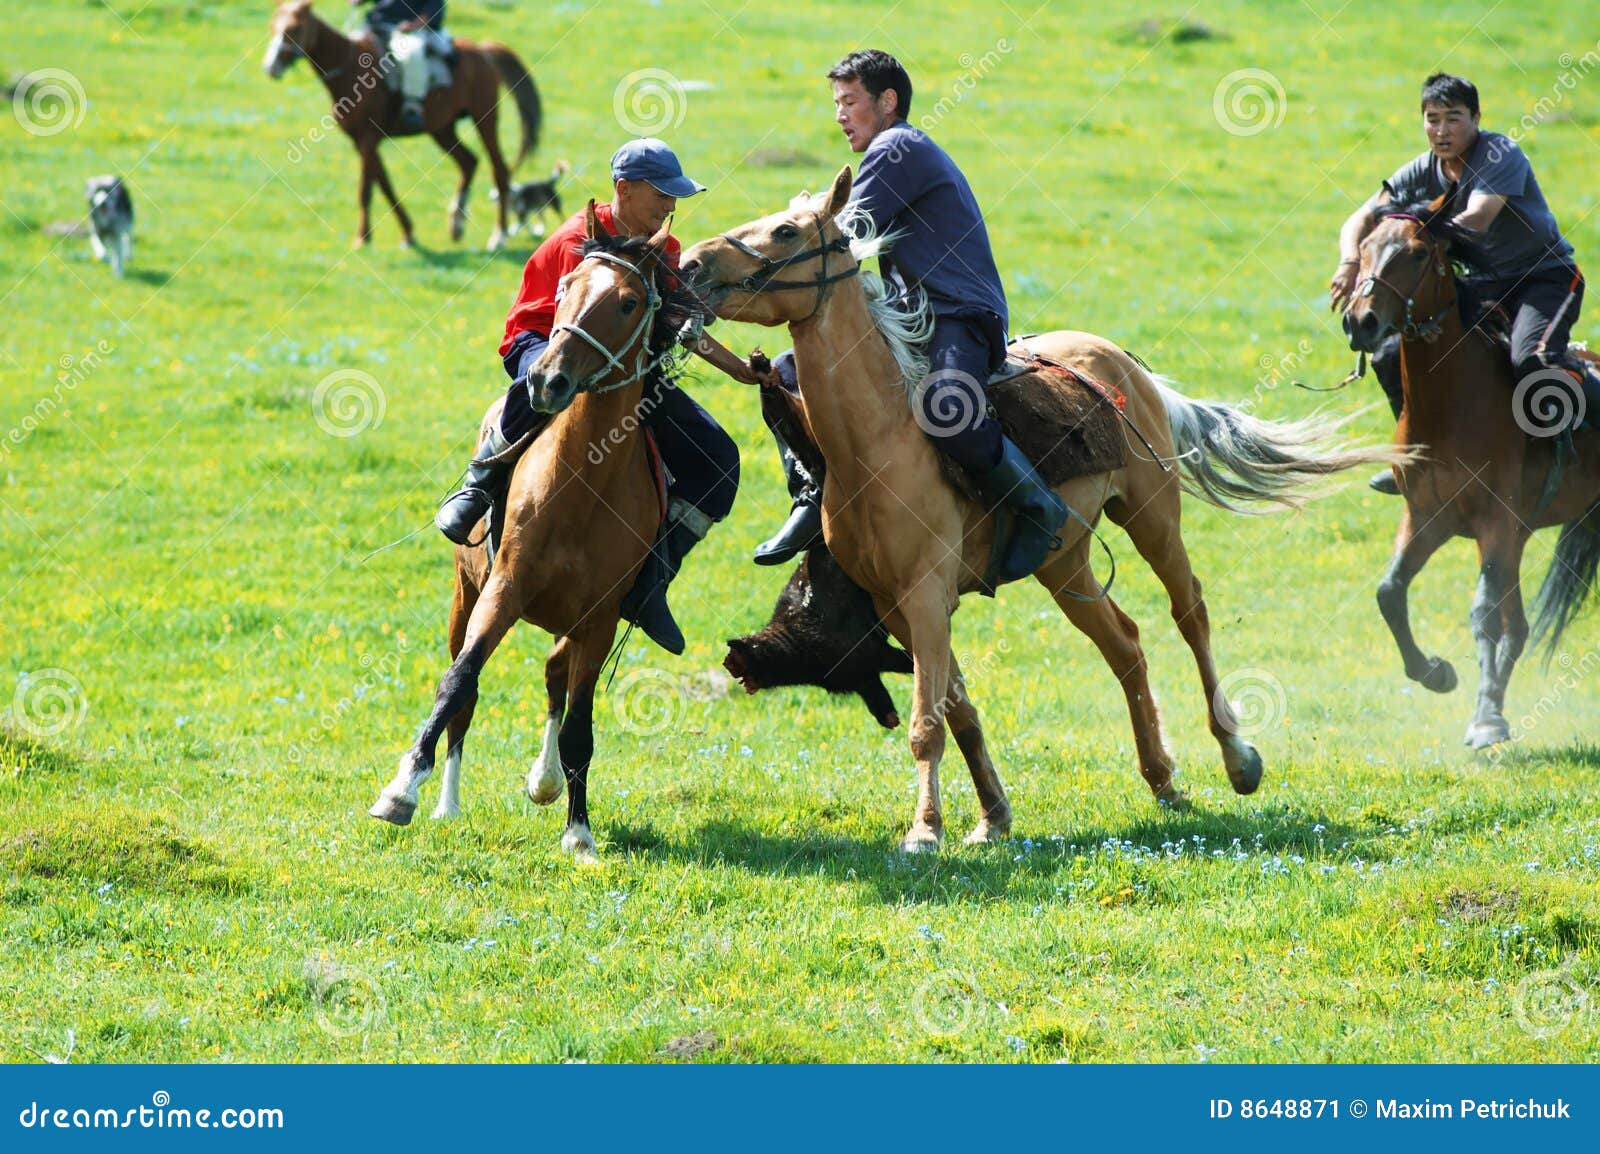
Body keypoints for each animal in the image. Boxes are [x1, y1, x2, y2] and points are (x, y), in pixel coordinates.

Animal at [263, 0, 541, 250]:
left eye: (296, 28)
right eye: (272, 26)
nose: (270, 67)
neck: (350, 69)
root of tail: (483, 51)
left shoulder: (368, 139)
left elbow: (366, 190)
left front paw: (362, 238)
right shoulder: (360, 142)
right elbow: (385, 185)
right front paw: (407, 233)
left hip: (485, 120)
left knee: (500, 171)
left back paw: (498, 236)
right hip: (442, 129)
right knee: (469, 162)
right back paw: (456, 223)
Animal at [369, 206, 688, 861]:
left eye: (627, 303)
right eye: (565, 287)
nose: (548, 381)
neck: (585, 478)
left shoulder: (599, 617)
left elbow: (580, 727)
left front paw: (579, 830)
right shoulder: (504, 588)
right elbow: (458, 683)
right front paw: (401, 791)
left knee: (554, 676)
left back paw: (545, 781)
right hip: (464, 596)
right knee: (467, 698)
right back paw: (447, 802)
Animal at [680, 166, 1401, 852]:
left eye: (785, 232)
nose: (689, 264)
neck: (878, 445)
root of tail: (1124, 365)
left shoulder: (924, 596)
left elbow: (925, 723)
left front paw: (924, 830)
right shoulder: (900, 608)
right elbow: (960, 713)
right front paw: (991, 817)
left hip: (1152, 518)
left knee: (1190, 614)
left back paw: (1237, 758)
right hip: (1066, 563)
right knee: (1125, 645)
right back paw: (1162, 780)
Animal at [1342, 186, 1600, 749]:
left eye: (1418, 253)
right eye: (1366, 246)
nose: (1360, 321)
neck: (1453, 405)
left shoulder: (1494, 521)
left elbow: (1483, 616)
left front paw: (1485, 720)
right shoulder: (1427, 518)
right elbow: (1390, 592)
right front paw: (1437, 674)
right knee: (1518, 625)